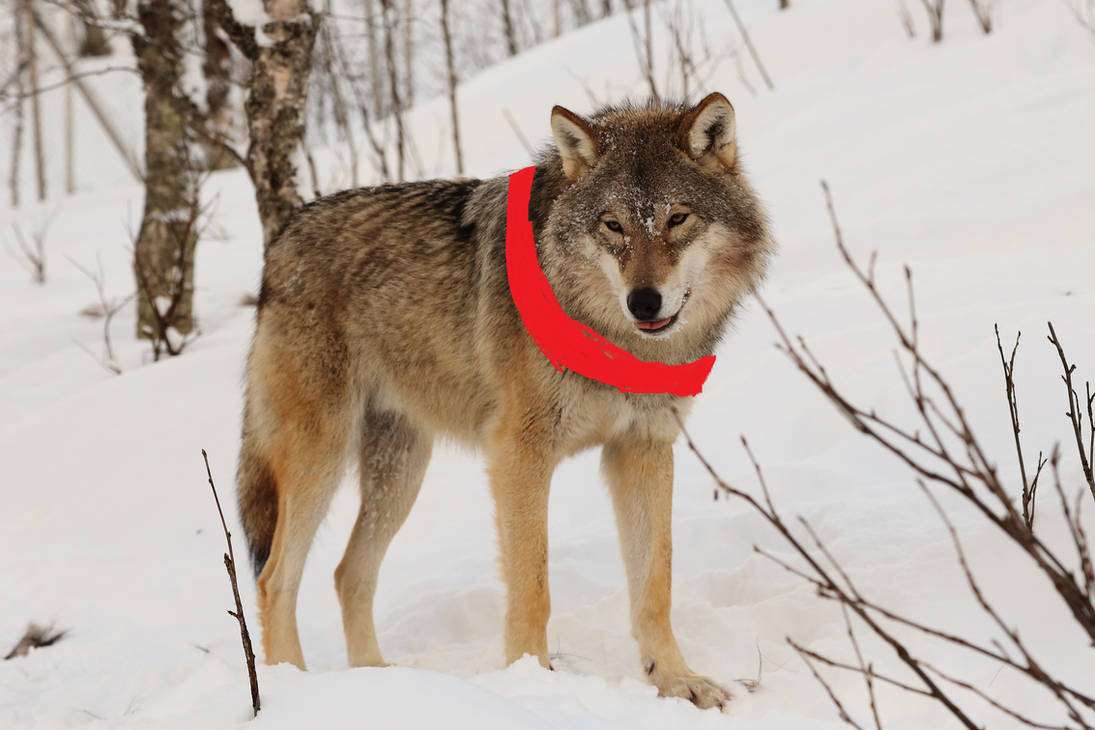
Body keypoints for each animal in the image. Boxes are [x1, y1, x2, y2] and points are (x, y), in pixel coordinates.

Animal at [237, 92, 772, 710]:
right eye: (613, 226)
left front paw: (676, 680)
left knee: (349, 574)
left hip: (400, 473)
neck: (612, 338)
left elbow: (654, 584)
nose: (643, 301)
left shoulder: (642, 450)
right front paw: (532, 683)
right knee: (275, 578)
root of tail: (282, 238)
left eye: (677, 219)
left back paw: (380, 682)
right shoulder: (520, 454)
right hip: (320, 460)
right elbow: (533, 586)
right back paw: (292, 688)